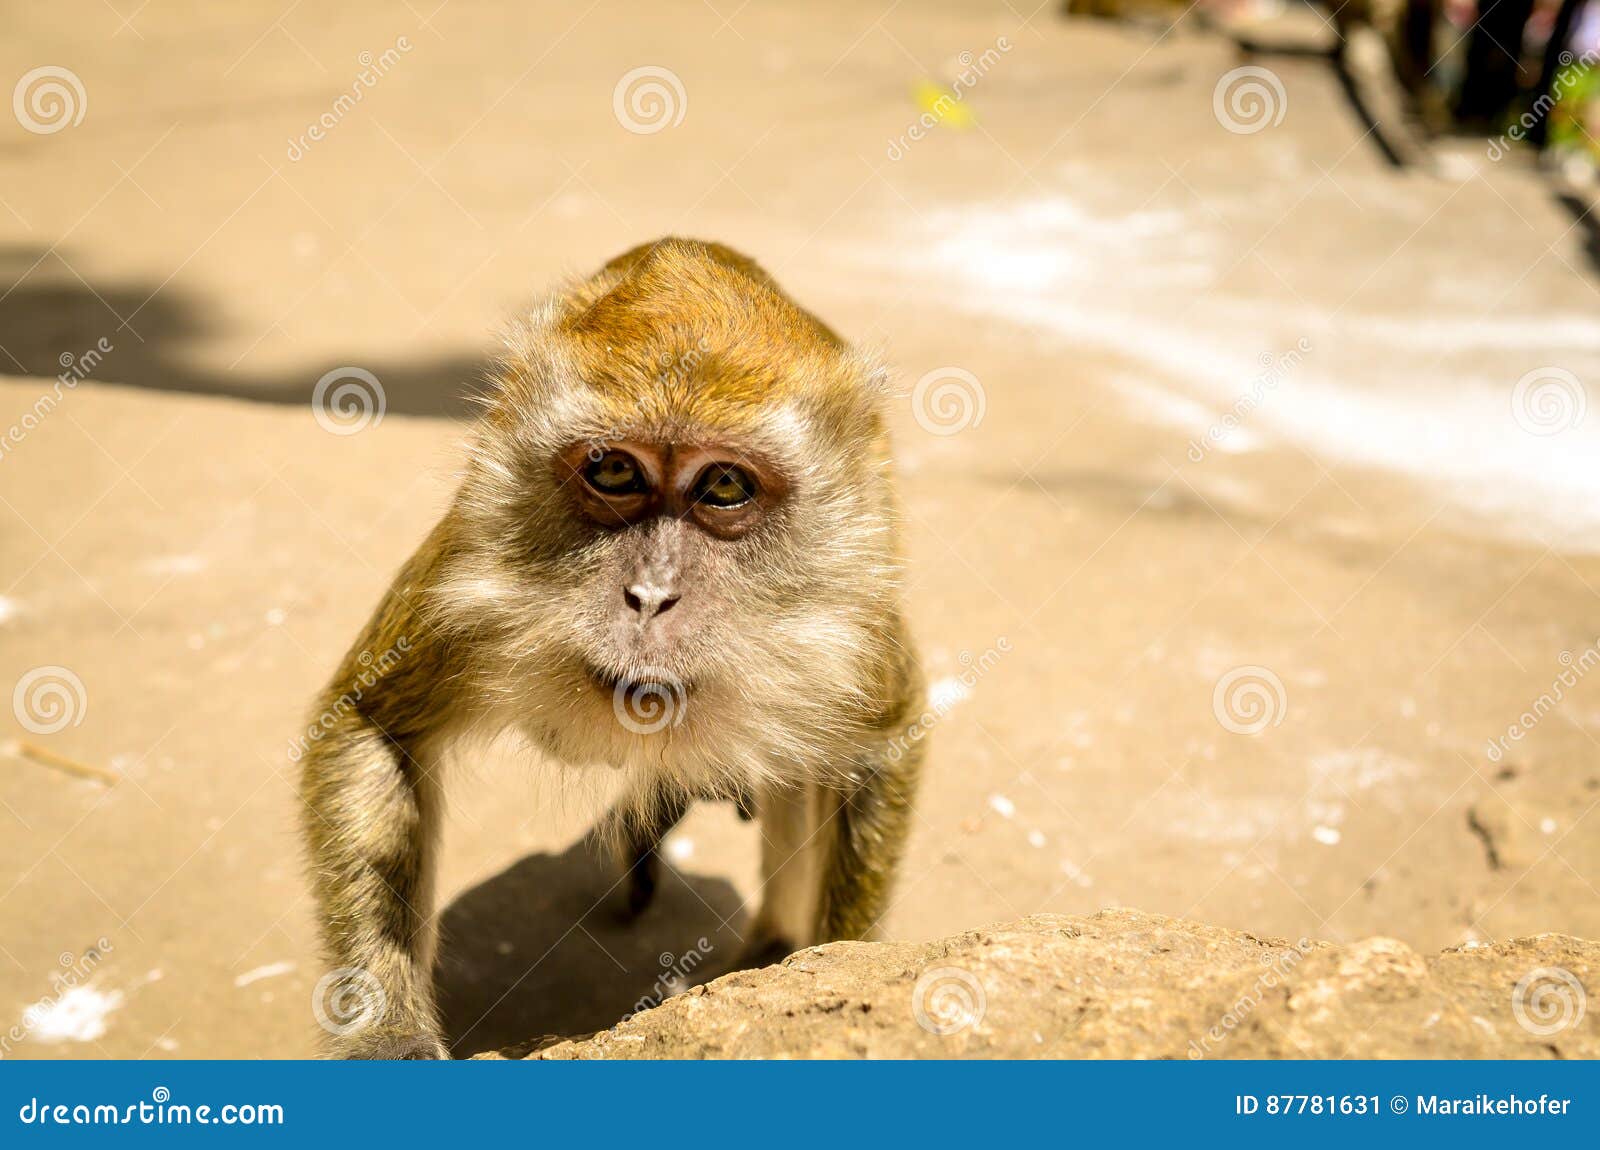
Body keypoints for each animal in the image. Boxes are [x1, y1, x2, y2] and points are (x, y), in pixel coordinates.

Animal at [297, 238, 927, 1059]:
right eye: (616, 471)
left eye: (725, 486)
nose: (650, 596)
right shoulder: (467, 578)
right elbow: (368, 722)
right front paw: (390, 1040)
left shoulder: (851, 622)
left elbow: (883, 746)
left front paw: (820, 966)